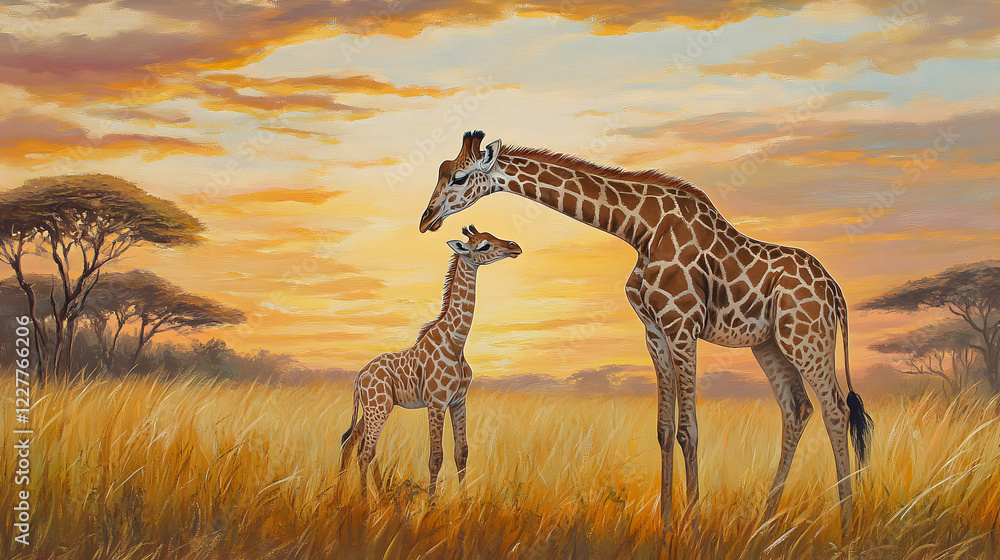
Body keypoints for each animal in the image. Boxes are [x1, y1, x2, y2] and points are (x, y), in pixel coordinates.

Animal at [341, 225, 521, 498]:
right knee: (364, 451)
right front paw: (431, 502)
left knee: (354, 444)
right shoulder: (436, 402)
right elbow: (436, 456)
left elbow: (462, 452)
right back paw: (363, 499)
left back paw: (361, 494)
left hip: (375, 407)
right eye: (484, 245)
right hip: (378, 407)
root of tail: (359, 376)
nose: (515, 247)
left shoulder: (458, 401)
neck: (456, 341)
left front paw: (464, 500)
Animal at [418, 130, 873, 535]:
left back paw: (847, 523)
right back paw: (766, 523)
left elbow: (689, 429)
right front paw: (667, 522)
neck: (641, 228)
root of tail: (835, 290)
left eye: (460, 177)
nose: (426, 220)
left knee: (835, 409)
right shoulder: (654, 330)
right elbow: (665, 429)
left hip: (807, 338)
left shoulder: (682, 324)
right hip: (770, 344)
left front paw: (693, 525)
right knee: (797, 409)